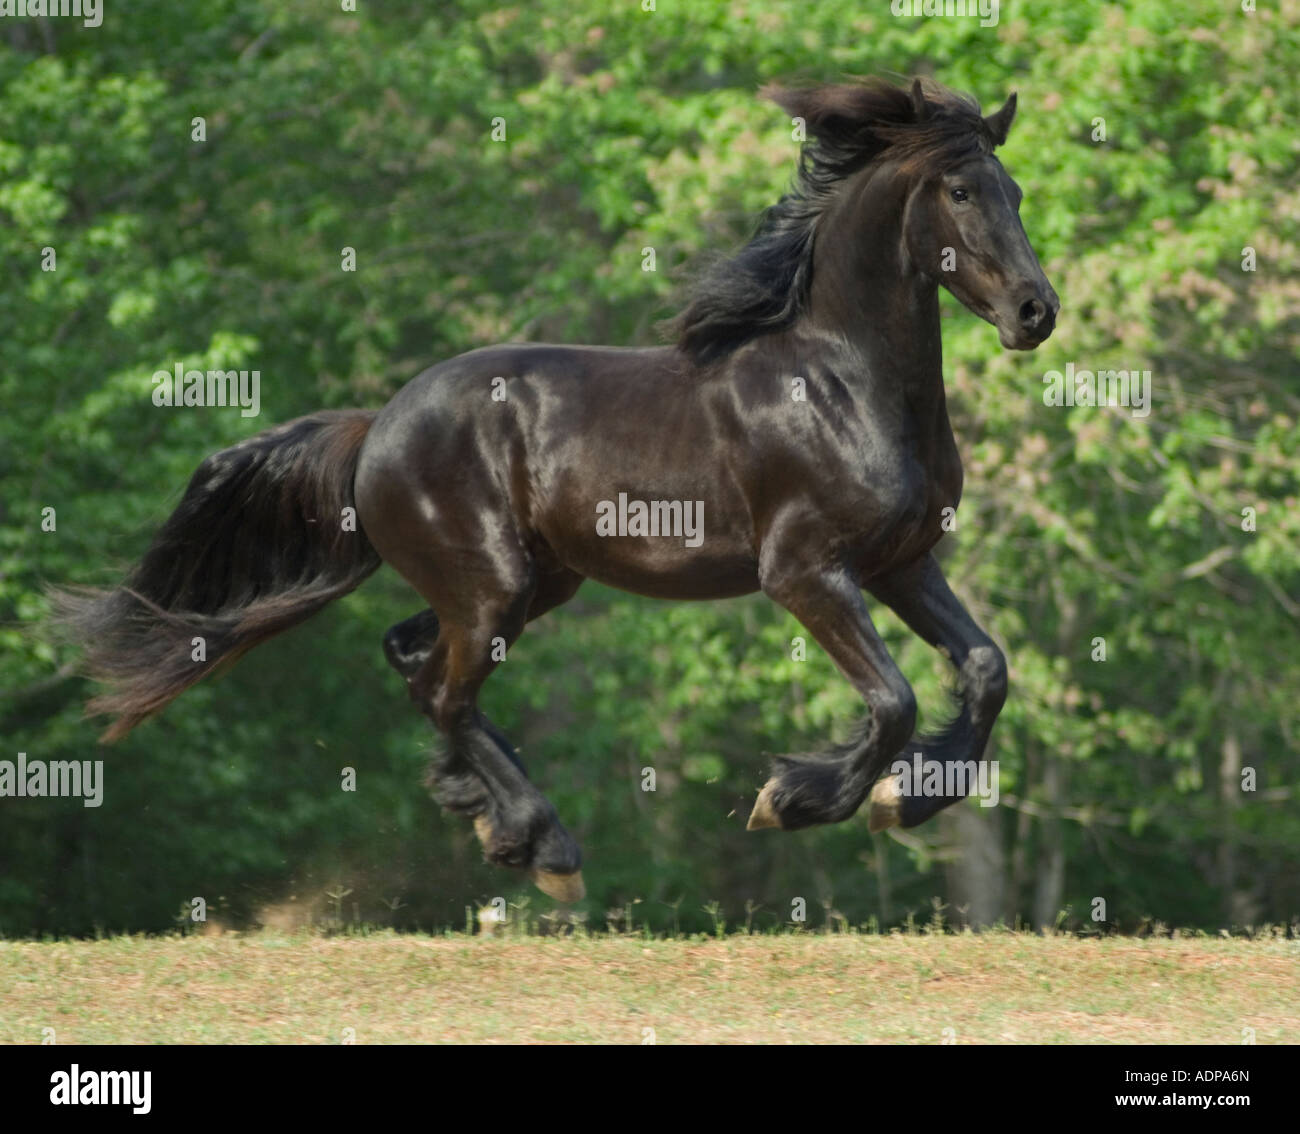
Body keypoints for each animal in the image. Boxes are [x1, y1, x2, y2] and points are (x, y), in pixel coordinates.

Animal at [55, 77, 1058, 903]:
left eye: (1014, 191)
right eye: (962, 192)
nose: (1035, 312)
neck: (841, 381)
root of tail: (376, 426)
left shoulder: (900, 561)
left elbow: (986, 670)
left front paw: (907, 799)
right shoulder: (806, 572)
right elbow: (893, 702)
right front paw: (799, 797)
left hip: (534, 583)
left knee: (417, 664)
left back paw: (490, 816)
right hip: (494, 586)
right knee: (445, 690)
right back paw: (545, 846)